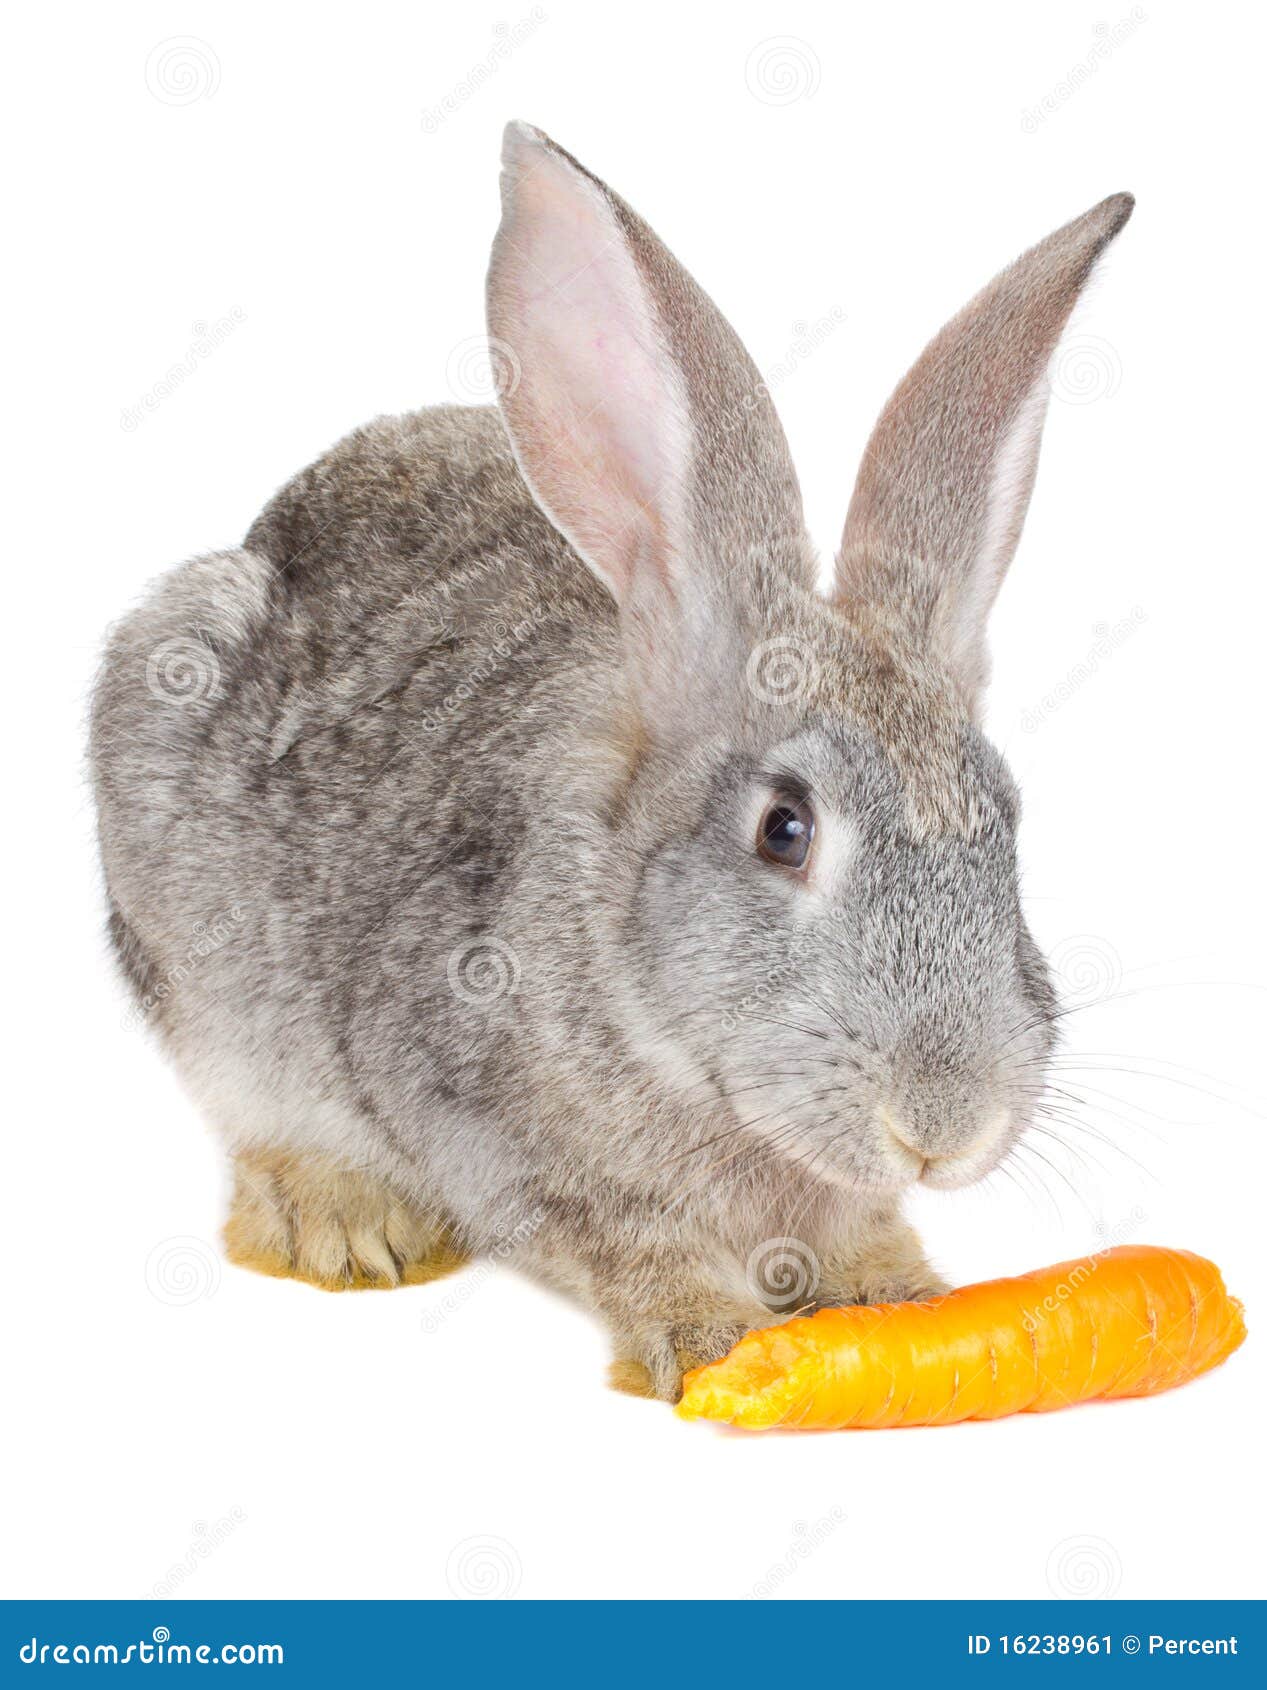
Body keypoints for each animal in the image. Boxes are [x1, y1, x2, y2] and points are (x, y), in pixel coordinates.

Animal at [90, 121, 1132, 1401]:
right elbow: (616, 1239)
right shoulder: (495, 1126)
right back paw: (347, 1228)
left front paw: (900, 1293)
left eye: (1008, 822)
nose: (947, 1125)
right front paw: (709, 1344)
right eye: (785, 828)